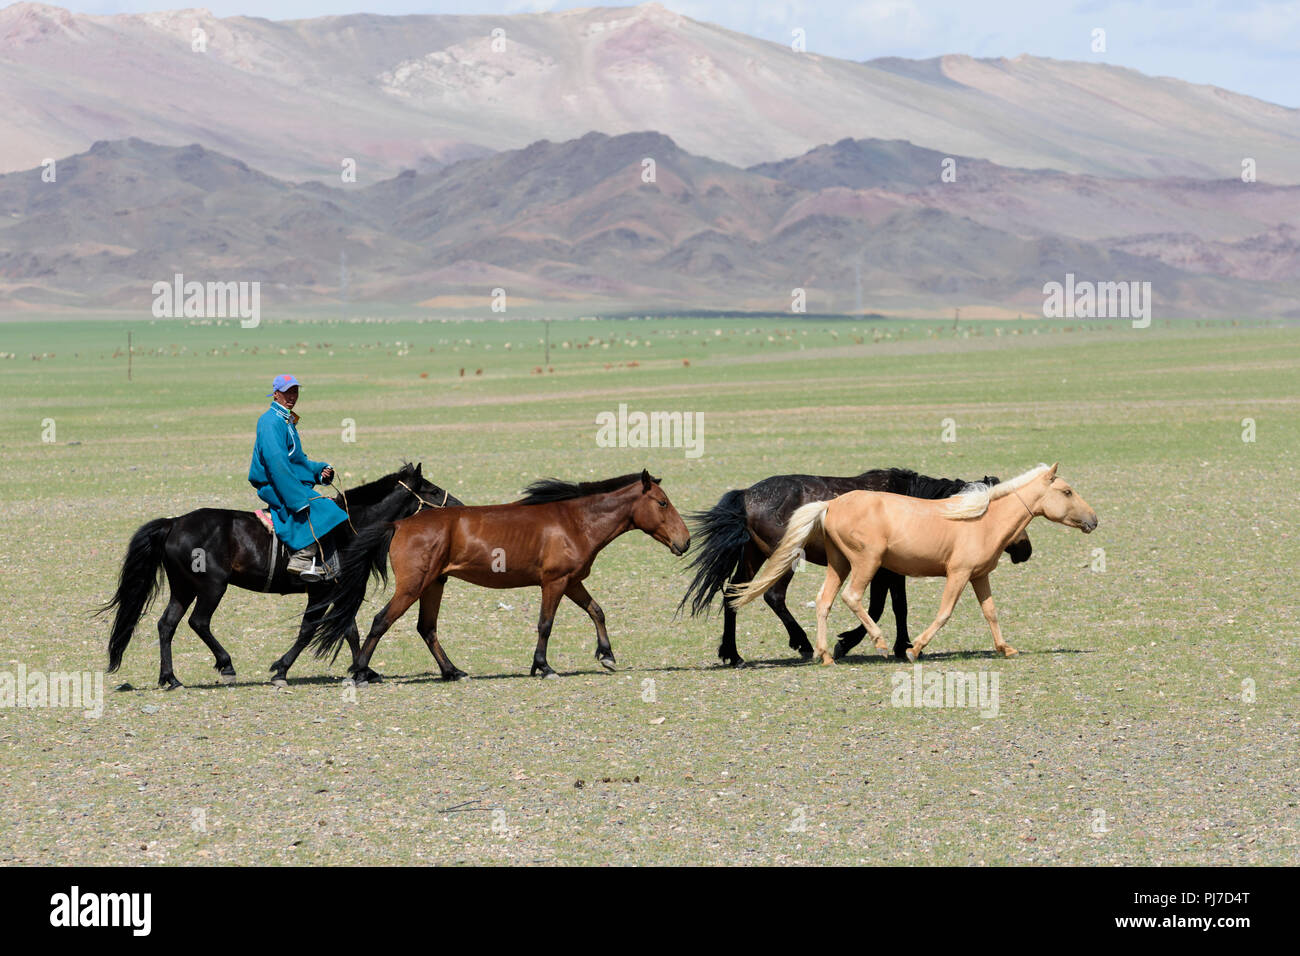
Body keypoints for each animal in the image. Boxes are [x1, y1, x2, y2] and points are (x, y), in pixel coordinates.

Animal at [96, 462, 461, 689]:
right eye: (430, 490)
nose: (457, 504)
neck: (347, 527)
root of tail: (174, 523)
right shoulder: (319, 592)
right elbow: (309, 630)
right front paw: (281, 669)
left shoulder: (335, 589)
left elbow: (349, 630)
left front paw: (364, 670)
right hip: (212, 587)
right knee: (198, 622)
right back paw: (226, 665)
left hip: (183, 588)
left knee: (166, 624)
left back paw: (170, 678)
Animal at [310, 470, 690, 682]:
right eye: (662, 503)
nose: (684, 541)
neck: (575, 521)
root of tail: (400, 523)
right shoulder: (554, 582)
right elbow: (545, 624)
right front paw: (543, 667)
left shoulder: (572, 581)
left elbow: (596, 610)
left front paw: (607, 655)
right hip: (413, 586)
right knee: (381, 621)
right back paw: (361, 672)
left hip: (434, 584)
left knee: (426, 628)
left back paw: (453, 672)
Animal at [729, 463, 1096, 664]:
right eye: (1067, 491)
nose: (1093, 520)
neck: (980, 519)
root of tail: (830, 505)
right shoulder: (956, 574)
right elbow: (939, 612)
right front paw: (911, 648)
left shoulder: (979, 576)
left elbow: (990, 612)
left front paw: (1005, 648)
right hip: (863, 562)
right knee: (847, 597)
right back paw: (863, 644)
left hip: (835, 564)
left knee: (821, 600)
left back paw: (822, 654)